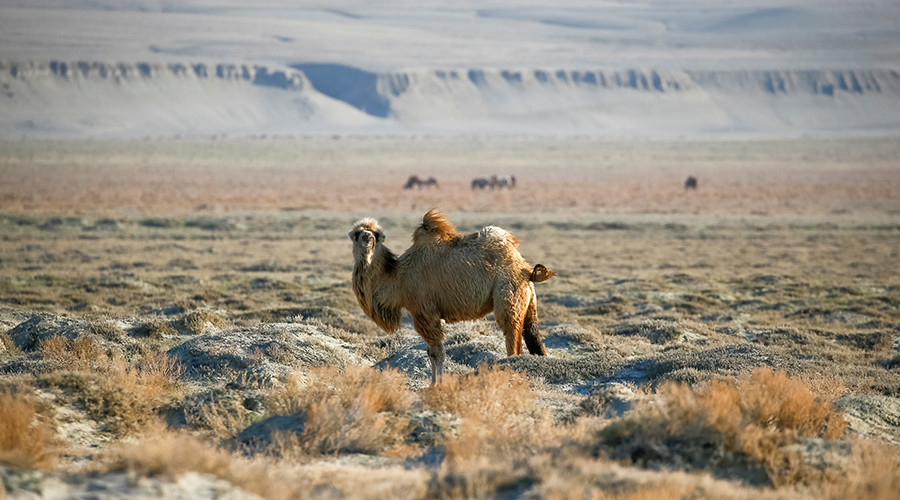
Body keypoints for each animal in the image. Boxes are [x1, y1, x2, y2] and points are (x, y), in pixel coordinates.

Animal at [349, 209, 555, 383]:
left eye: (376, 234)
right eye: (358, 233)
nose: (367, 237)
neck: (400, 279)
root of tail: (526, 270)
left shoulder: (426, 313)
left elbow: (436, 353)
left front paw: (435, 385)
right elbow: (431, 352)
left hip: (508, 299)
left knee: (513, 344)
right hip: (528, 305)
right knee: (533, 341)